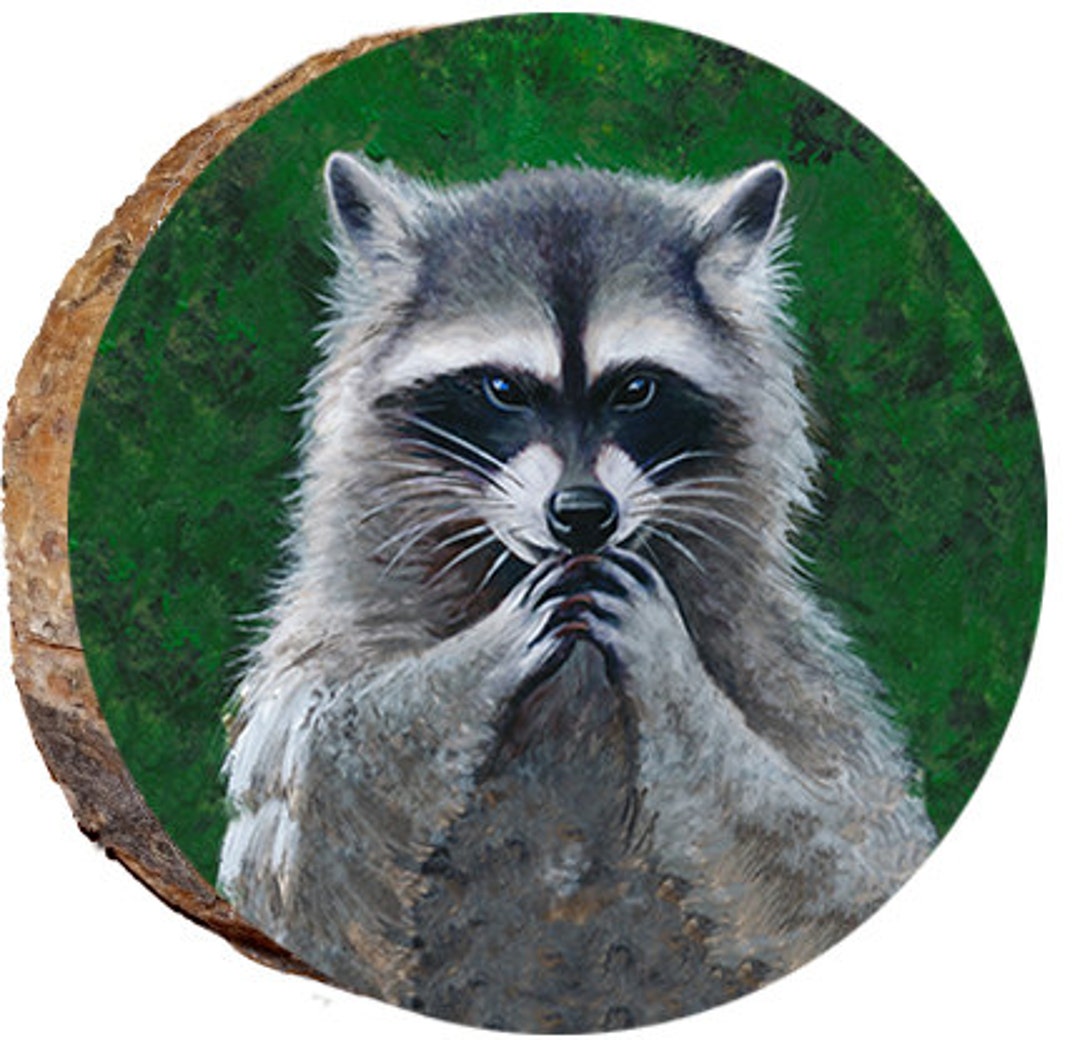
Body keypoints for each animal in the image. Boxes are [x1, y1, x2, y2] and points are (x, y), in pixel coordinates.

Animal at [218, 153, 937, 1032]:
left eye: (635, 390)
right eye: (502, 389)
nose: (583, 513)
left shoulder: (783, 662)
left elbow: (841, 858)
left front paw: (670, 669)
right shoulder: (320, 648)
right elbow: (313, 812)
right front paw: (481, 651)